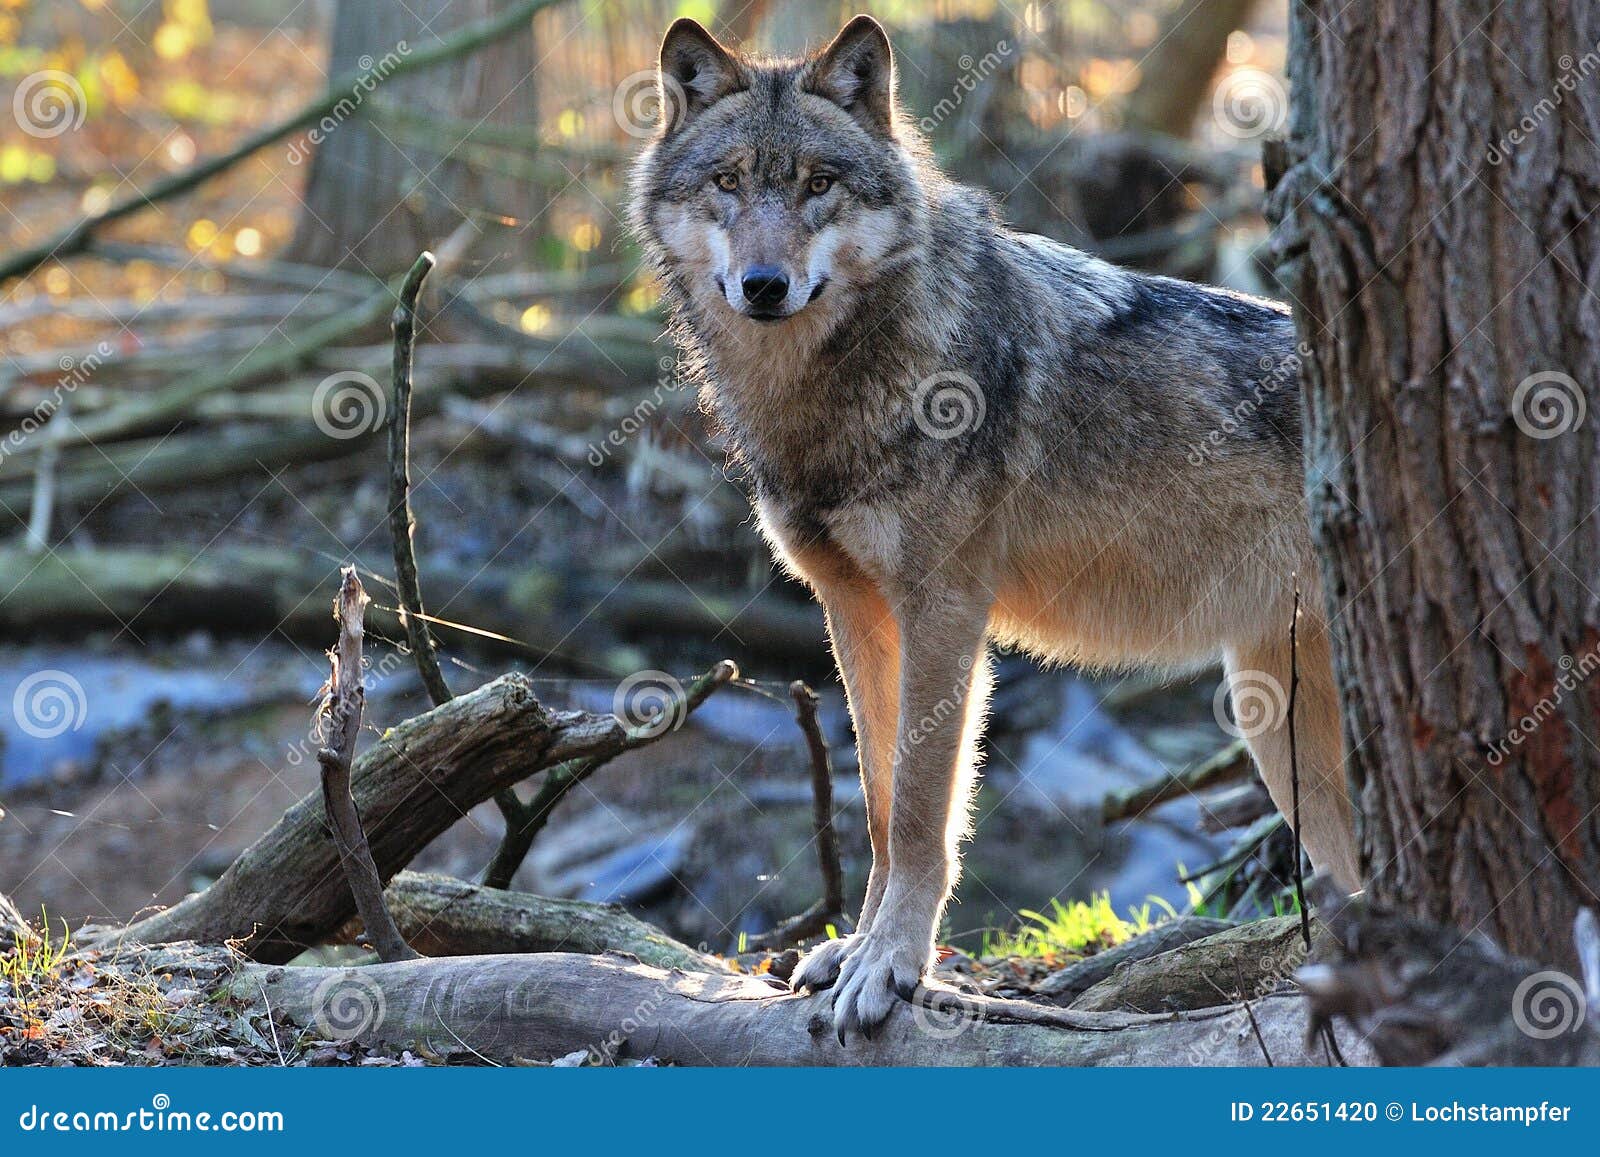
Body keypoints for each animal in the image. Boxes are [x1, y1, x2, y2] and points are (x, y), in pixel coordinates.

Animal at [629, 15, 1359, 1039]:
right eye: (729, 182)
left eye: (818, 183)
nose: (764, 285)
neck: (834, 392)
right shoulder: (853, 611)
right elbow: (879, 801)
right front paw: (855, 950)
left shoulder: (947, 611)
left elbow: (922, 811)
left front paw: (890, 967)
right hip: (1274, 714)